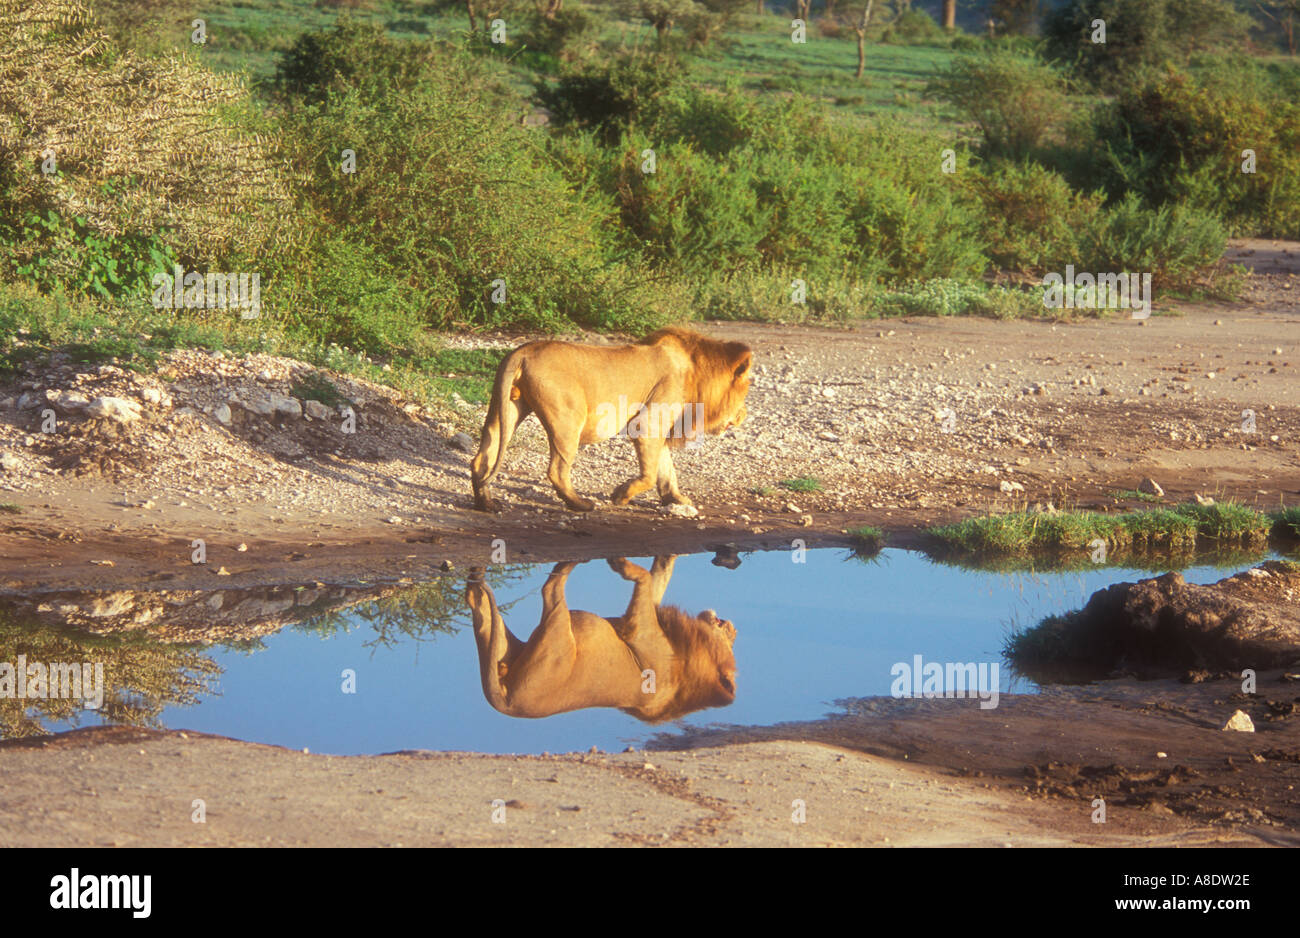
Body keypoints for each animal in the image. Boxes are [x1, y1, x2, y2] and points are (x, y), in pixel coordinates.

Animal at [463, 556, 737, 723]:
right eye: (730, 638)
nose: (730, 624)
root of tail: (507, 704)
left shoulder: (640, 630)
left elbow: (646, 578)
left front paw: (620, 563)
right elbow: (656, 579)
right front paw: (665, 558)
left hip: (557, 635)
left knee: (550, 588)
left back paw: (571, 563)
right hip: (502, 641)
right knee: (475, 601)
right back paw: (476, 579)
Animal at [470, 327, 753, 512]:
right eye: (747, 391)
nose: (744, 416)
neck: (697, 370)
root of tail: (524, 350)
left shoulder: (658, 426)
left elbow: (666, 470)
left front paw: (676, 499)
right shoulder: (647, 423)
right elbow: (651, 474)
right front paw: (620, 496)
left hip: (506, 408)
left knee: (483, 457)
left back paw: (486, 503)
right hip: (568, 418)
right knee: (557, 470)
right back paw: (581, 504)